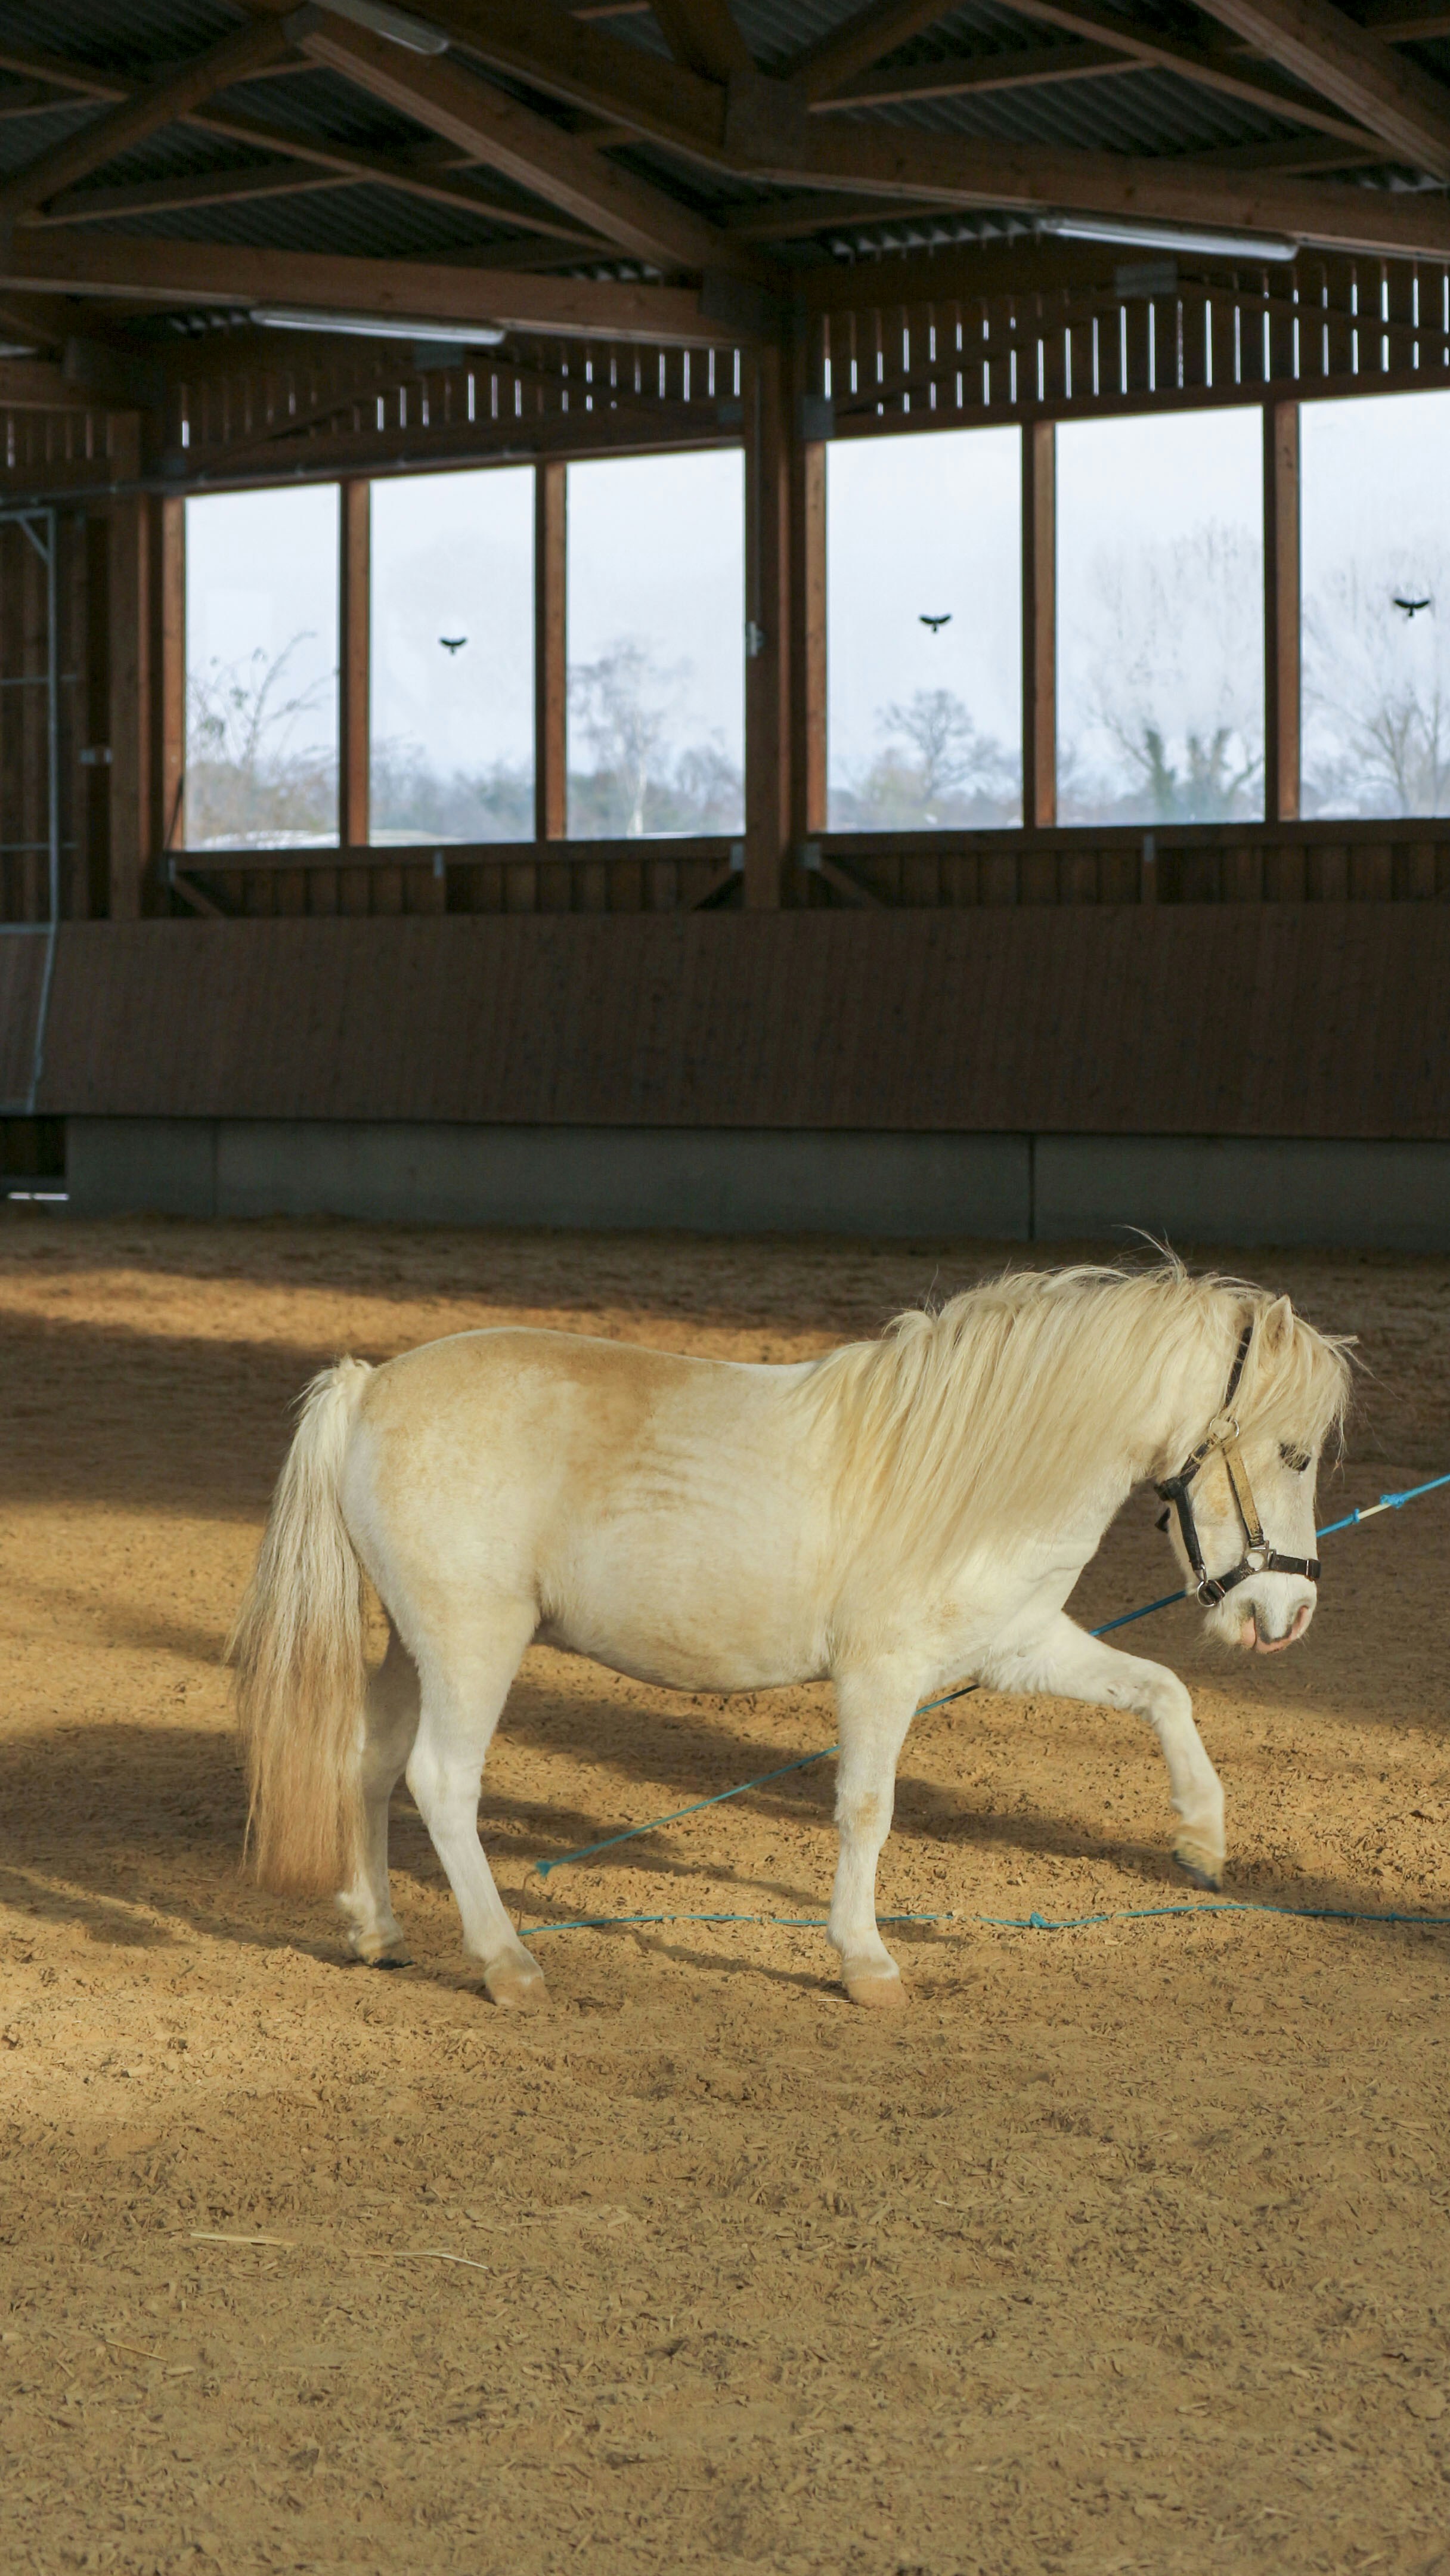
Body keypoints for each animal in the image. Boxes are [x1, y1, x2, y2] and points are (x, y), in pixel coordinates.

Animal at [233, 1261, 1351, 2011]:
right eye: (1294, 1453)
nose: (1289, 1618)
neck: (971, 1469)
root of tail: (369, 1387)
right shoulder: (880, 1677)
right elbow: (866, 1810)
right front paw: (866, 1964)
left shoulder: (1017, 1649)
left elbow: (1164, 1691)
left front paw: (1200, 1843)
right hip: (474, 1644)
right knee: (440, 1782)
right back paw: (509, 1966)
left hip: (411, 1644)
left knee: (369, 1763)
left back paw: (377, 1932)